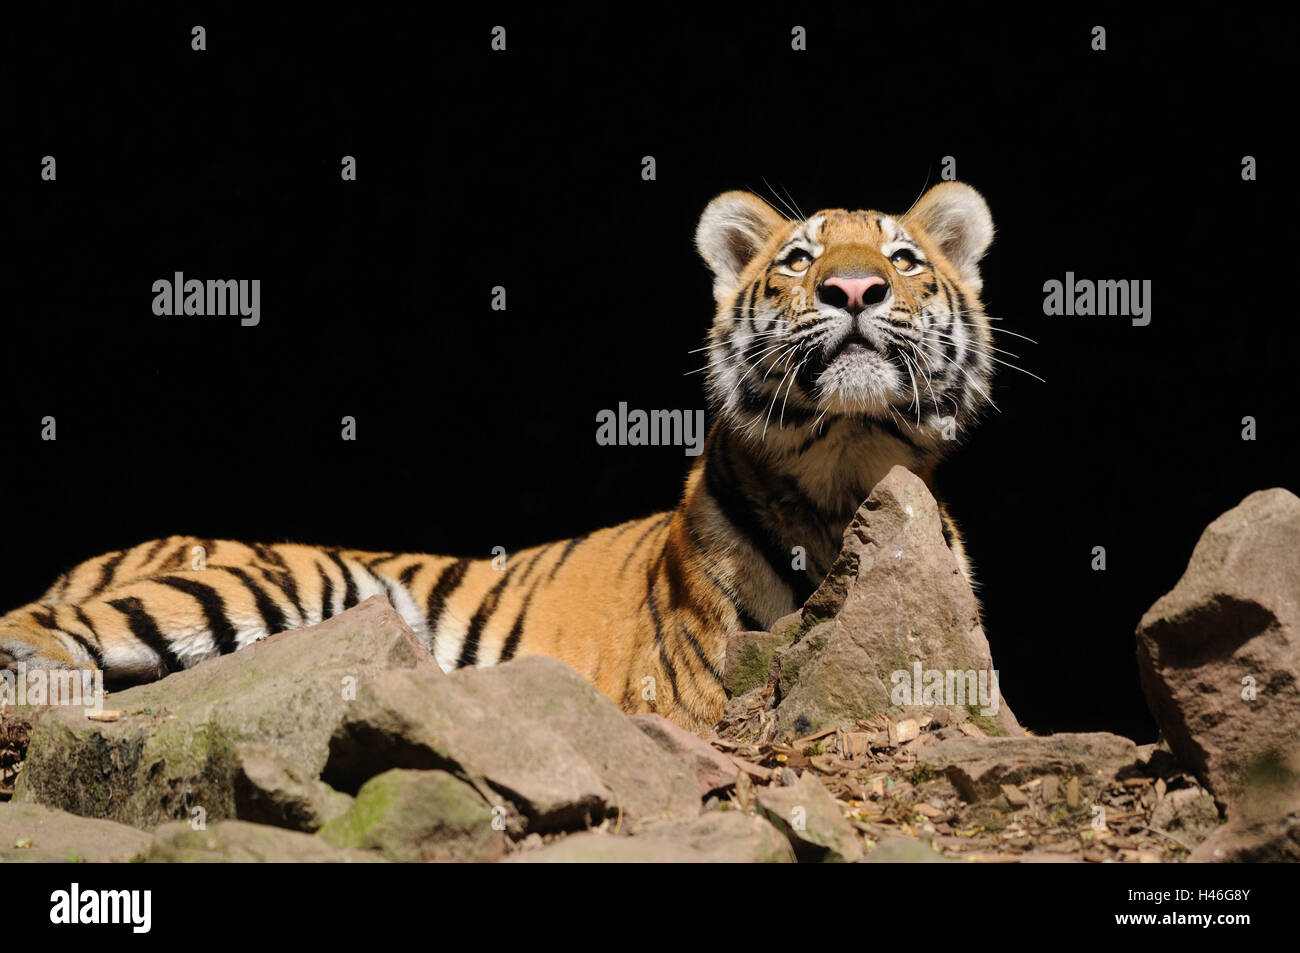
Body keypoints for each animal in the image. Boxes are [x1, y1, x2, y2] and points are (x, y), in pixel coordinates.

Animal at [0, 182, 995, 732]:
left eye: (904, 257)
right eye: (796, 258)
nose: (855, 286)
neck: (843, 478)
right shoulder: (694, 693)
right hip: (284, 580)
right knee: (35, 621)